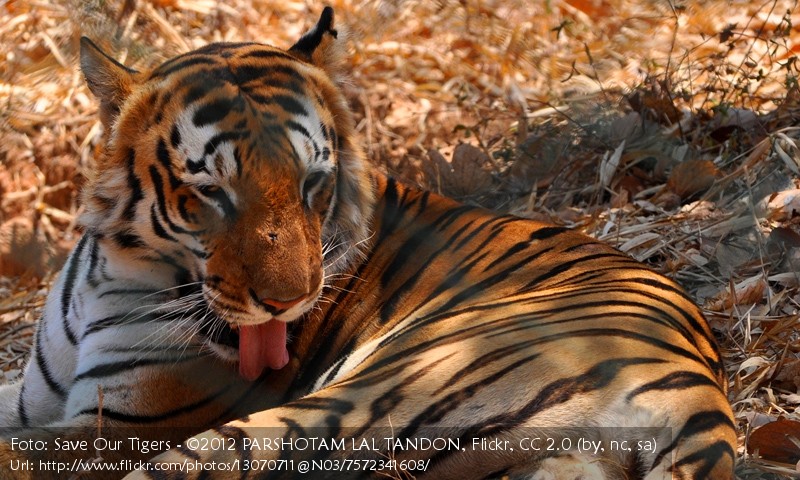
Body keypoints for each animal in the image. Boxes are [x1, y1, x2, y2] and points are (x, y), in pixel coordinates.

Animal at [0, 6, 735, 480]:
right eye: (212, 192)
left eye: (311, 183)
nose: (289, 304)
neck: (109, 270)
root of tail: (700, 393)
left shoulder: (127, 423)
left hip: (357, 398)